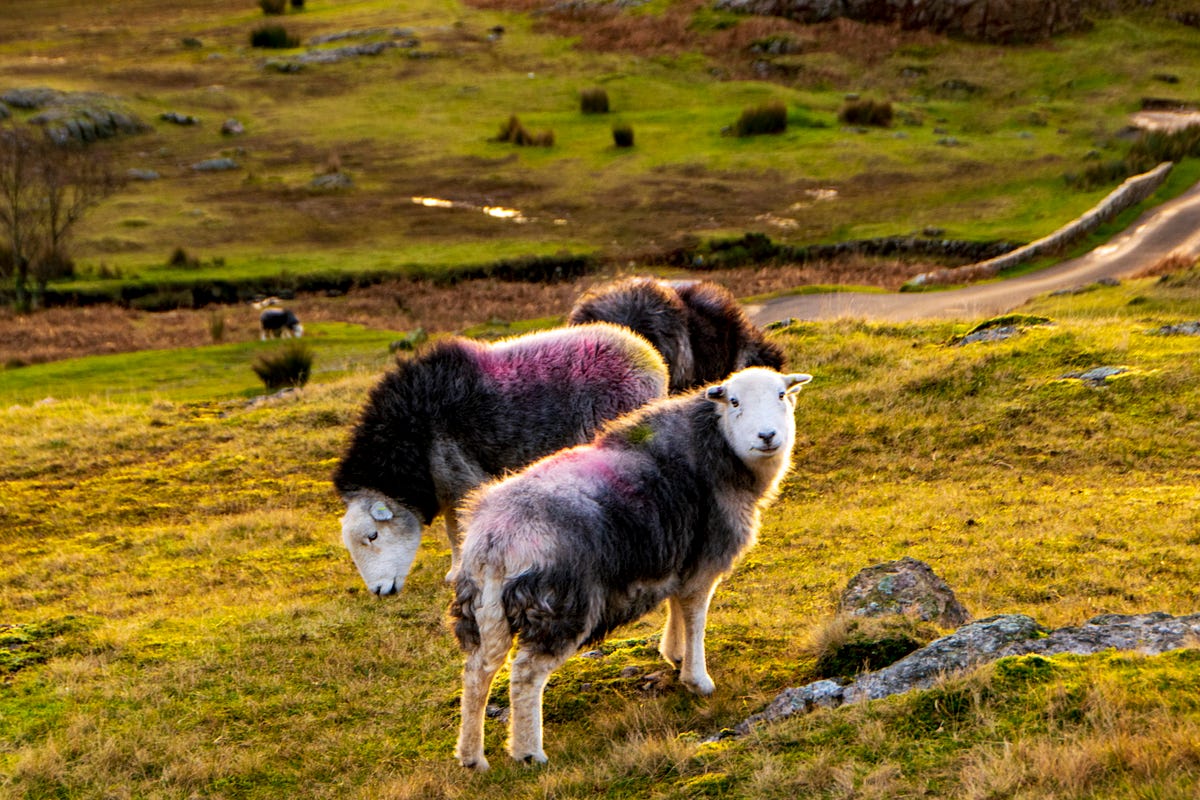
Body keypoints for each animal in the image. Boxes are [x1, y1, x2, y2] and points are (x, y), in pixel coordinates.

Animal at [333, 322, 668, 595]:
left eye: (373, 535)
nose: (380, 591)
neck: (412, 433)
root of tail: (651, 361)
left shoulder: (459, 475)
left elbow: (460, 529)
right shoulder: (446, 484)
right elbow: (452, 530)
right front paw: (454, 572)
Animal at [450, 366, 812, 770]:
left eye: (781, 395)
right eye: (734, 402)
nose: (767, 436)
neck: (717, 448)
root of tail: (495, 536)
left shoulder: (678, 557)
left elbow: (675, 606)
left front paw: (674, 653)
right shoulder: (704, 562)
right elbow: (695, 617)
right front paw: (696, 678)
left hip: (484, 608)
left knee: (477, 670)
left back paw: (471, 757)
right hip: (562, 605)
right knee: (526, 674)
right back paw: (529, 752)